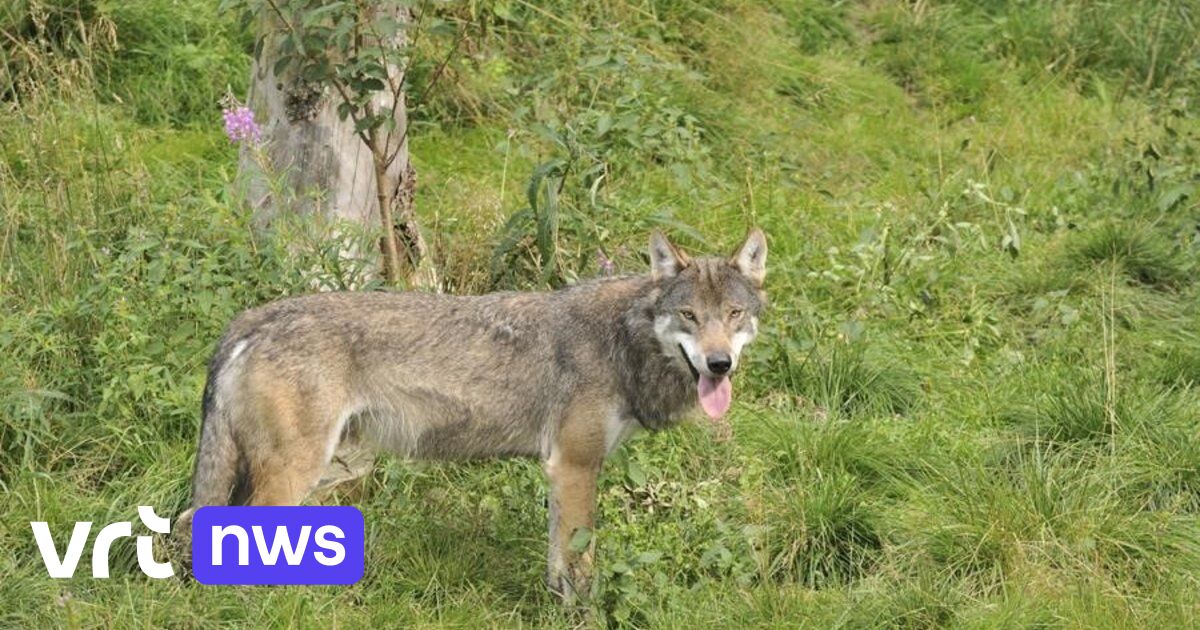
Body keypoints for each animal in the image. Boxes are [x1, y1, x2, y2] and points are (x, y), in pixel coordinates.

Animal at [178, 228, 767, 600]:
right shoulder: (575, 467)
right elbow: (581, 566)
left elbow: (558, 563)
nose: (719, 363)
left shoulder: (562, 472)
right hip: (296, 473)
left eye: (734, 314)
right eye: (689, 315)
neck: (623, 338)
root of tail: (252, 318)